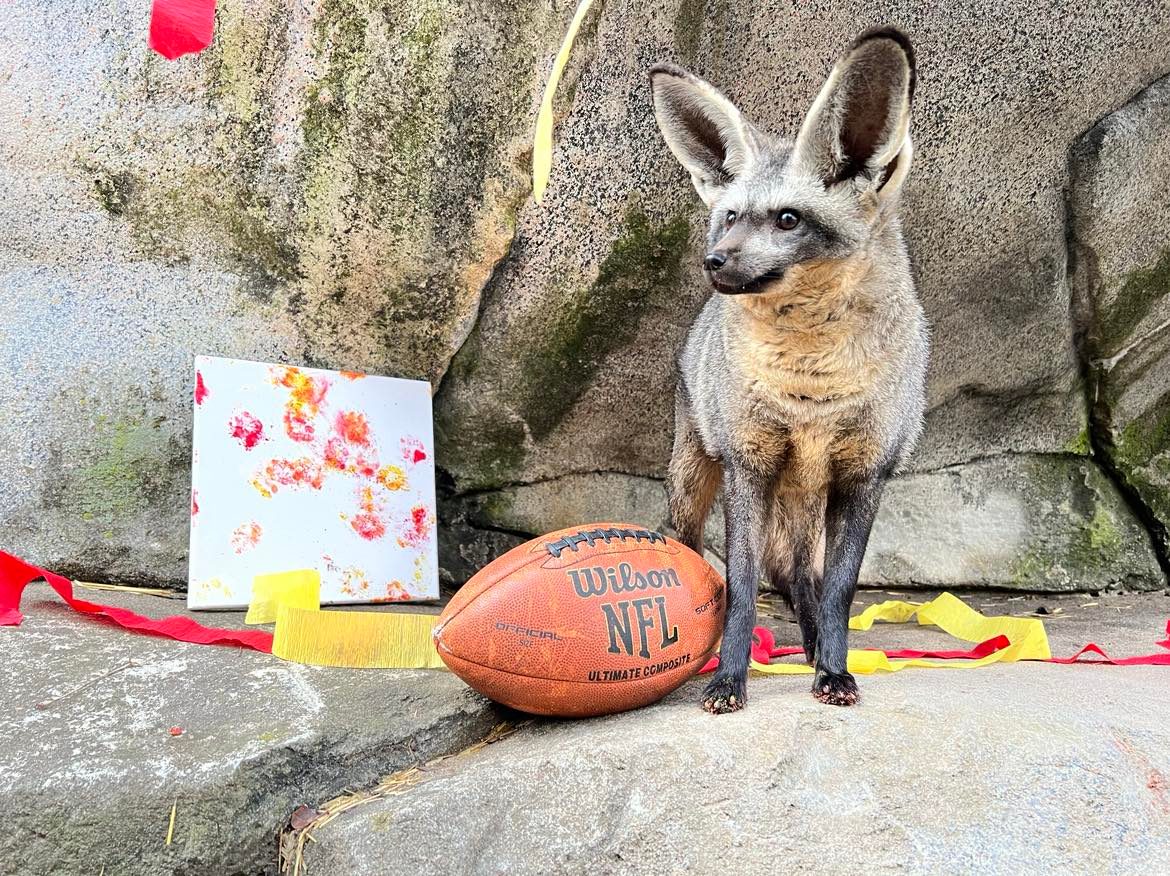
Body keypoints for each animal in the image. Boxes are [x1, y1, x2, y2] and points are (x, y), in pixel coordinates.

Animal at [648, 27, 929, 711]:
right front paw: (727, 678)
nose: (714, 261)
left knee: (801, 574)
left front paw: (834, 670)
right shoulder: (748, 465)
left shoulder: (865, 475)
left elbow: (838, 591)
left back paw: (810, 650)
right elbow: (742, 590)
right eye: (729, 216)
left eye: (788, 219)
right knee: (703, 556)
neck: (811, 388)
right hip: (695, 482)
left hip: (806, 496)